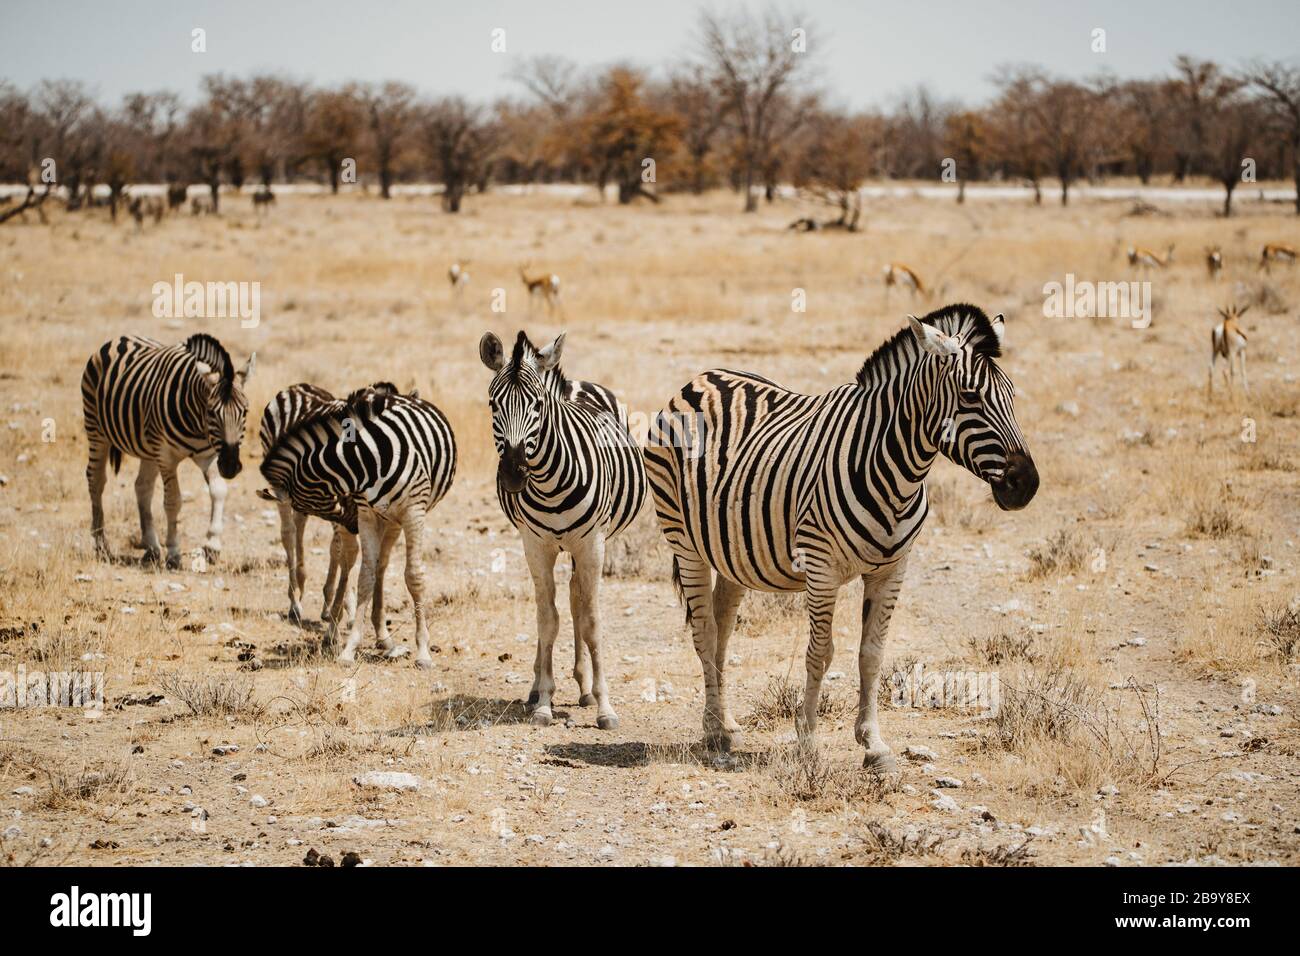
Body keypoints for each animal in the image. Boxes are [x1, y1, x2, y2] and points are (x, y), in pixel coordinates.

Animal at [82, 333, 255, 569]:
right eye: (211, 412)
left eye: (245, 411)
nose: (229, 466)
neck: (198, 424)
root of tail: (121, 337)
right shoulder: (166, 456)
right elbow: (173, 500)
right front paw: (173, 553)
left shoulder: (208, 454)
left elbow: (219, 490)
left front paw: (212, 545)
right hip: (97, 430)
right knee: (96, 480)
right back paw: (102, 546)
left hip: (148, 448)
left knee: (142, 486)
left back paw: (152, 547)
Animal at [259, 384, 456, 666]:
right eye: (320, 503)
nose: (353, 526)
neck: (369, 460)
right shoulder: (367, 513)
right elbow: (364, 576)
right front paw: (349, 645)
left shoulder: (412, 511)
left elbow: (414, 576)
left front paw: (423, 650)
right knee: (300, 536)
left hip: (394, 519)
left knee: (379, 564)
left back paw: (378, 634)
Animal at [478, 330, 647, 730]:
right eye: (493, 404)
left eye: (538, 405)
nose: (514, 475)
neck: (549, 484)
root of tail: (571, 384)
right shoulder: (535, 544)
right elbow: (547, 620)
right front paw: (543, 700)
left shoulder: (593, 545)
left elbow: (591, 621)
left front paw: (605, 706)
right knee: (557, 605)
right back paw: (539, 686)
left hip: (583, 545)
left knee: (576, 601)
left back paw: (585, 687)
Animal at [644, 304, 1038, 768]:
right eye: (970, 398)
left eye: (1012, 396)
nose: (1026, 485)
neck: (895, 471)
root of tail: (700, 377)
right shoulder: (821, 565)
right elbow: (821, 651)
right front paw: (808, 741)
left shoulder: (893, 569)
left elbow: (872, 652)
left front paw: (873, 743)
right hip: (683, 539)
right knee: (704, 629)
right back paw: (711, 730)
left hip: (732, 548)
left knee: (723, 624)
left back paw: (726, 722)